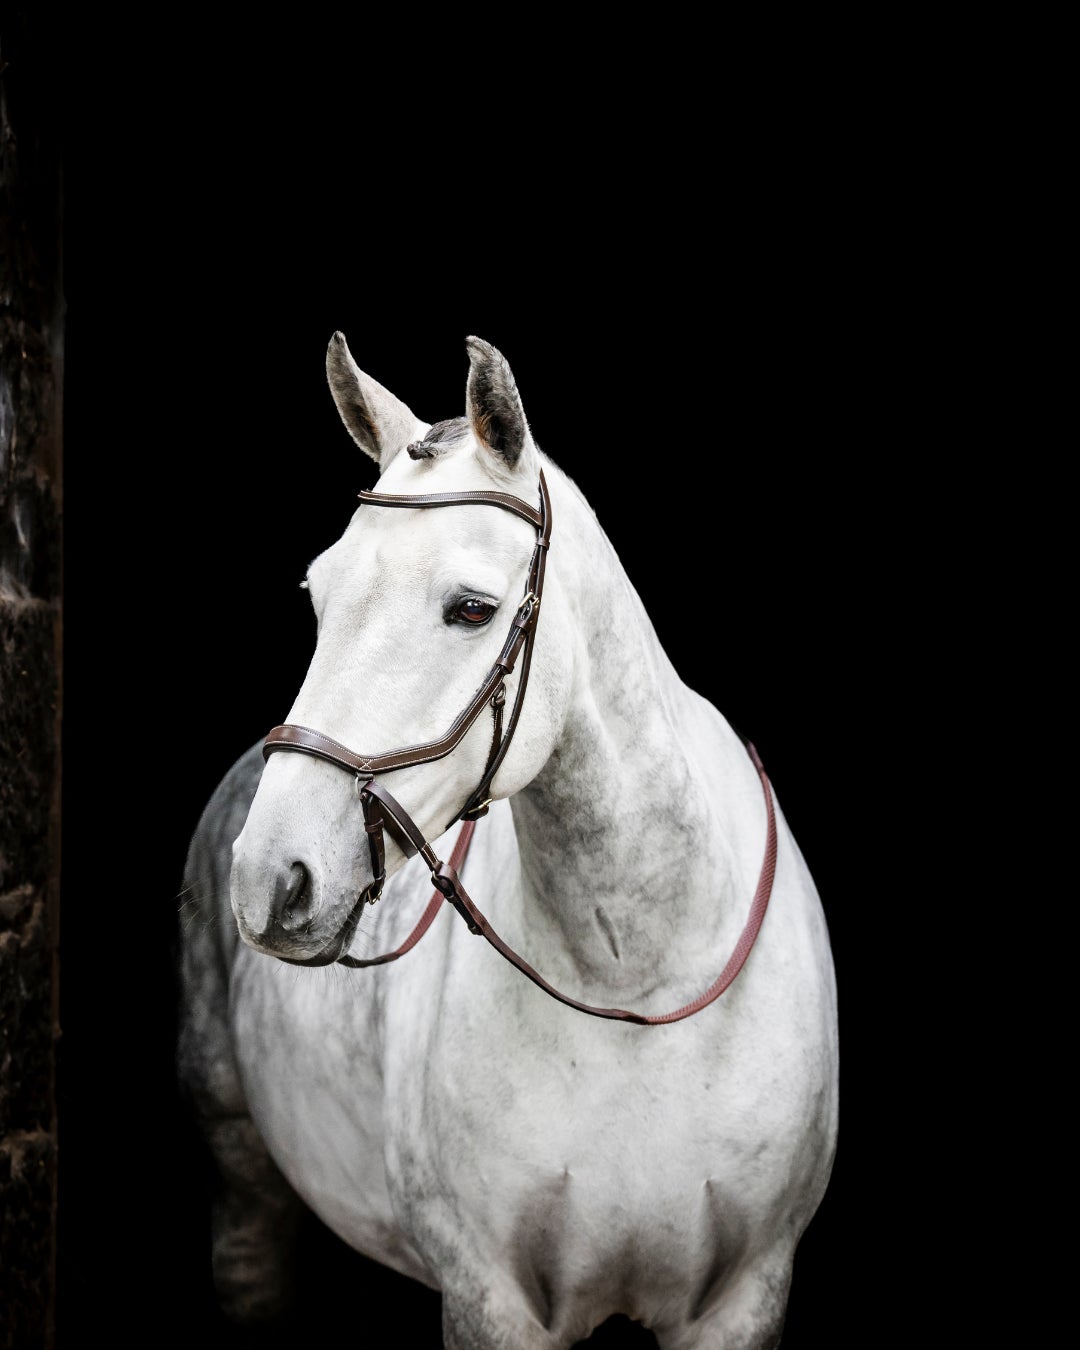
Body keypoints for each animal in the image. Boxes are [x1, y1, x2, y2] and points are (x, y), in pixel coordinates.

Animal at [176, 332, 840, 1349]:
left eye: (472, 609)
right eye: (318, 594)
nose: (269, 879)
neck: (636, 984)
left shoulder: (744, 1298)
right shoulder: (490, 1300)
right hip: (242, 1174)